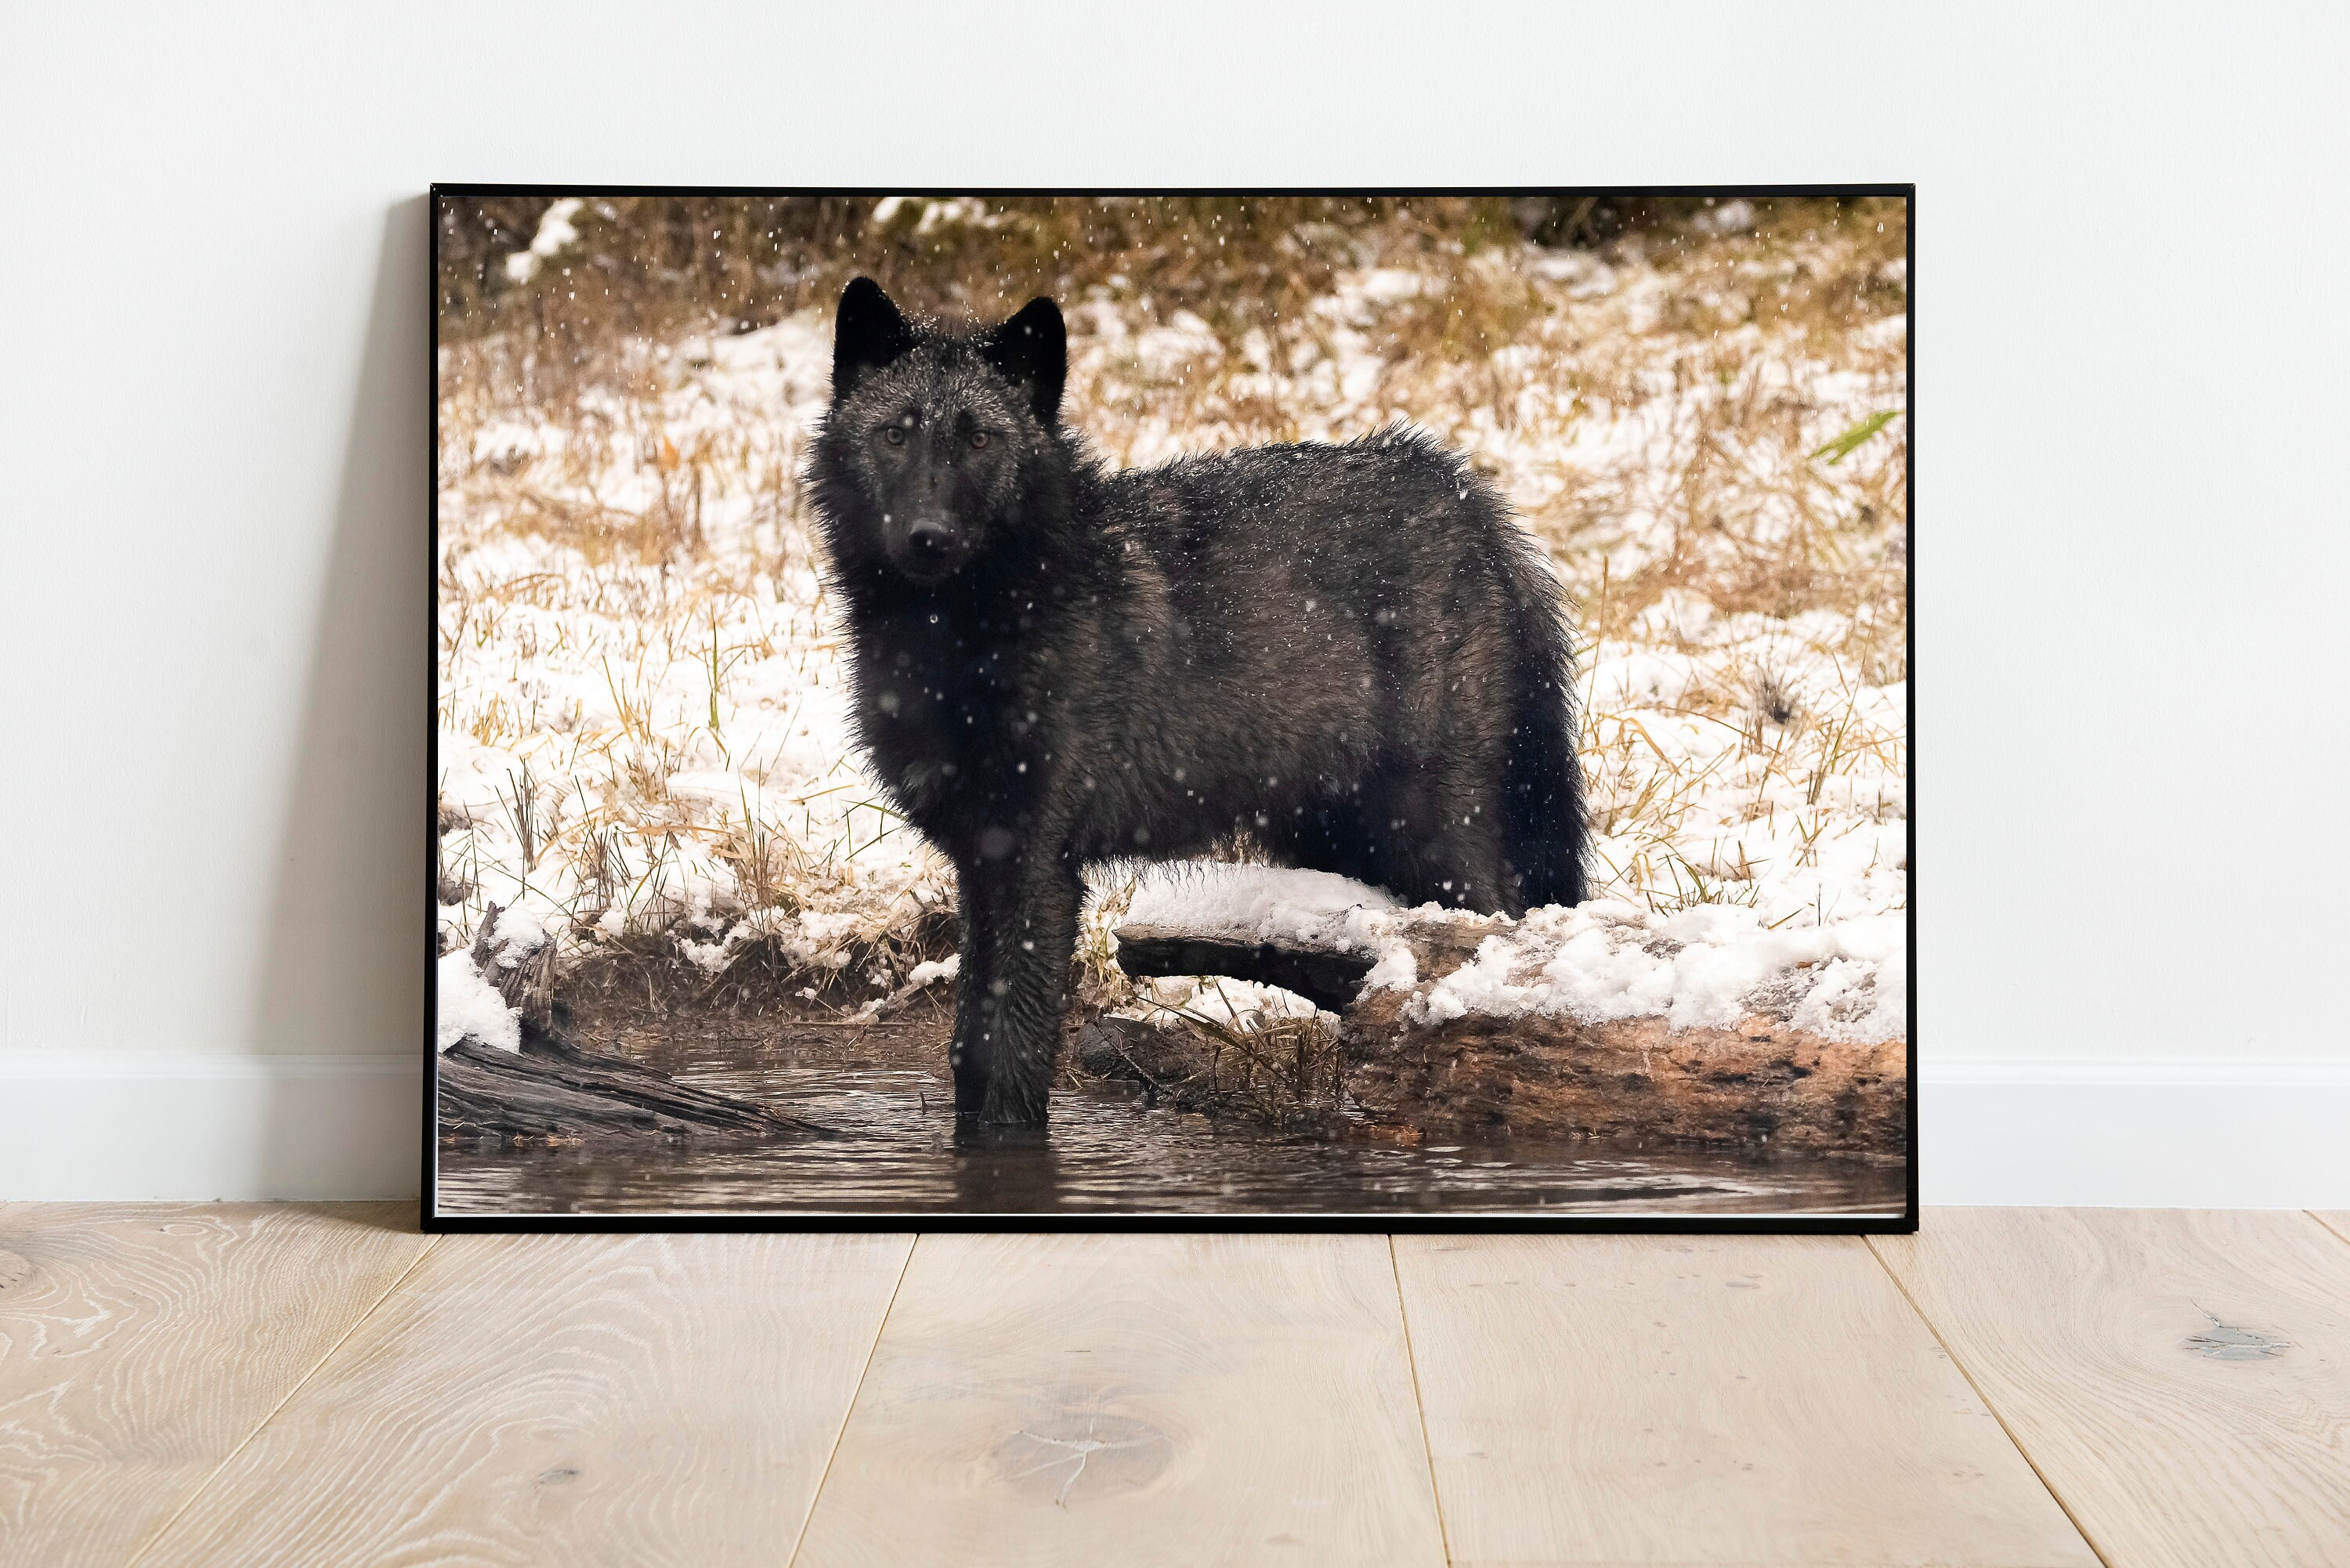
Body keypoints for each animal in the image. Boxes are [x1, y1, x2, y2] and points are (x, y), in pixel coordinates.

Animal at [807, 278, 1586, 1126]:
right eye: (895, 434)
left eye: (979, 440)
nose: (929, 536)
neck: (959, 638)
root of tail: (1470, 500)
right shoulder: (979, 860)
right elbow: (968, 1051)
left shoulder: (1038, 863)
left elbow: (1010, 1054)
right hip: (1336, 836)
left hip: (1433, 833)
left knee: (1492, 929)